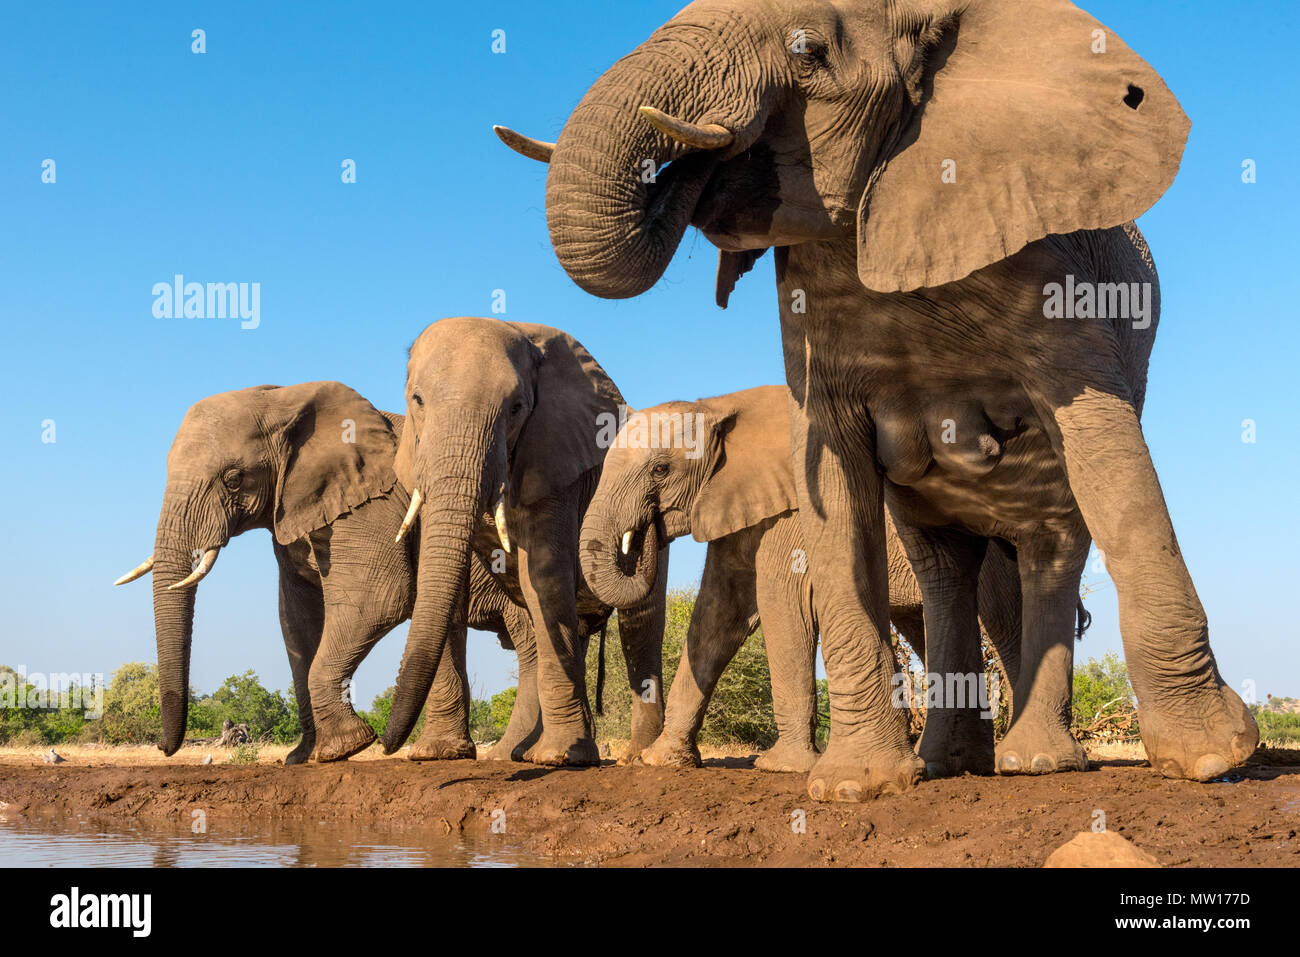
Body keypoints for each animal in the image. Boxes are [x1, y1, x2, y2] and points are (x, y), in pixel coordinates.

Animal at [112, 381, 541, 763]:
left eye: (233, 478)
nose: (162, 748)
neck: (285, 400)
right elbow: (297, 619)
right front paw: (302, 757)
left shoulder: (373, 503)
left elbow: (380, 598)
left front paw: (345, 748)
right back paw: (461, 754)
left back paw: (507, 755)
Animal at [378, 317, 669, 766]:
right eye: (418, 400)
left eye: (516, 408)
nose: (384, 743)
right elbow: (447, 586)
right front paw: (437, 754)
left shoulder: (556, 459)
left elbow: (545, 577)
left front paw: (561, 758)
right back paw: (518, 754)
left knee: (640, 628)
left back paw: (634, 756)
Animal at [579, 384, 1030, 775]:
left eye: (660, 469)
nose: (646, 532)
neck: (719, 406)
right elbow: (719, 612)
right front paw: (662, 760)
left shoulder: (796, 505)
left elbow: (780, 600)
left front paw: (783, 766)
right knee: (927, 624)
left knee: (1002, 615)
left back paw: (1014, 755)